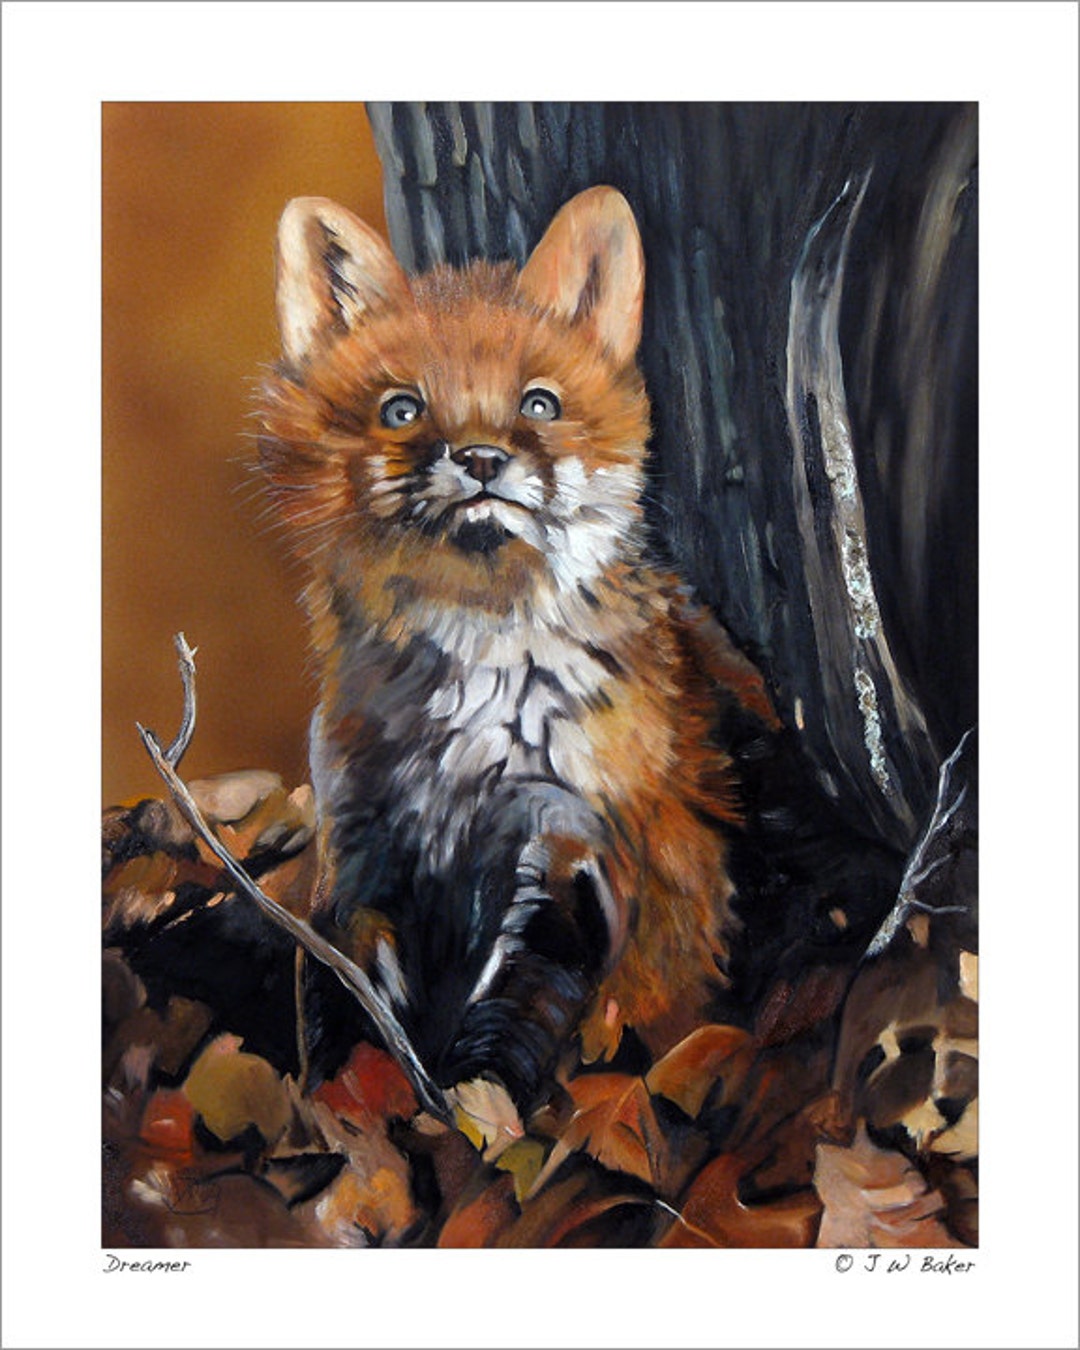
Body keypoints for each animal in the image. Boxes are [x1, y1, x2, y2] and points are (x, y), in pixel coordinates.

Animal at [257, 186, 786, 1115]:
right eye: (402, 409)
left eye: (539, 403)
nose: (480, 458)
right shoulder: (361, 847)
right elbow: (345, 1000)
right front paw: (351, 1104)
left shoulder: (565, 836)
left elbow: (519, 1011)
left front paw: (477, 1114)